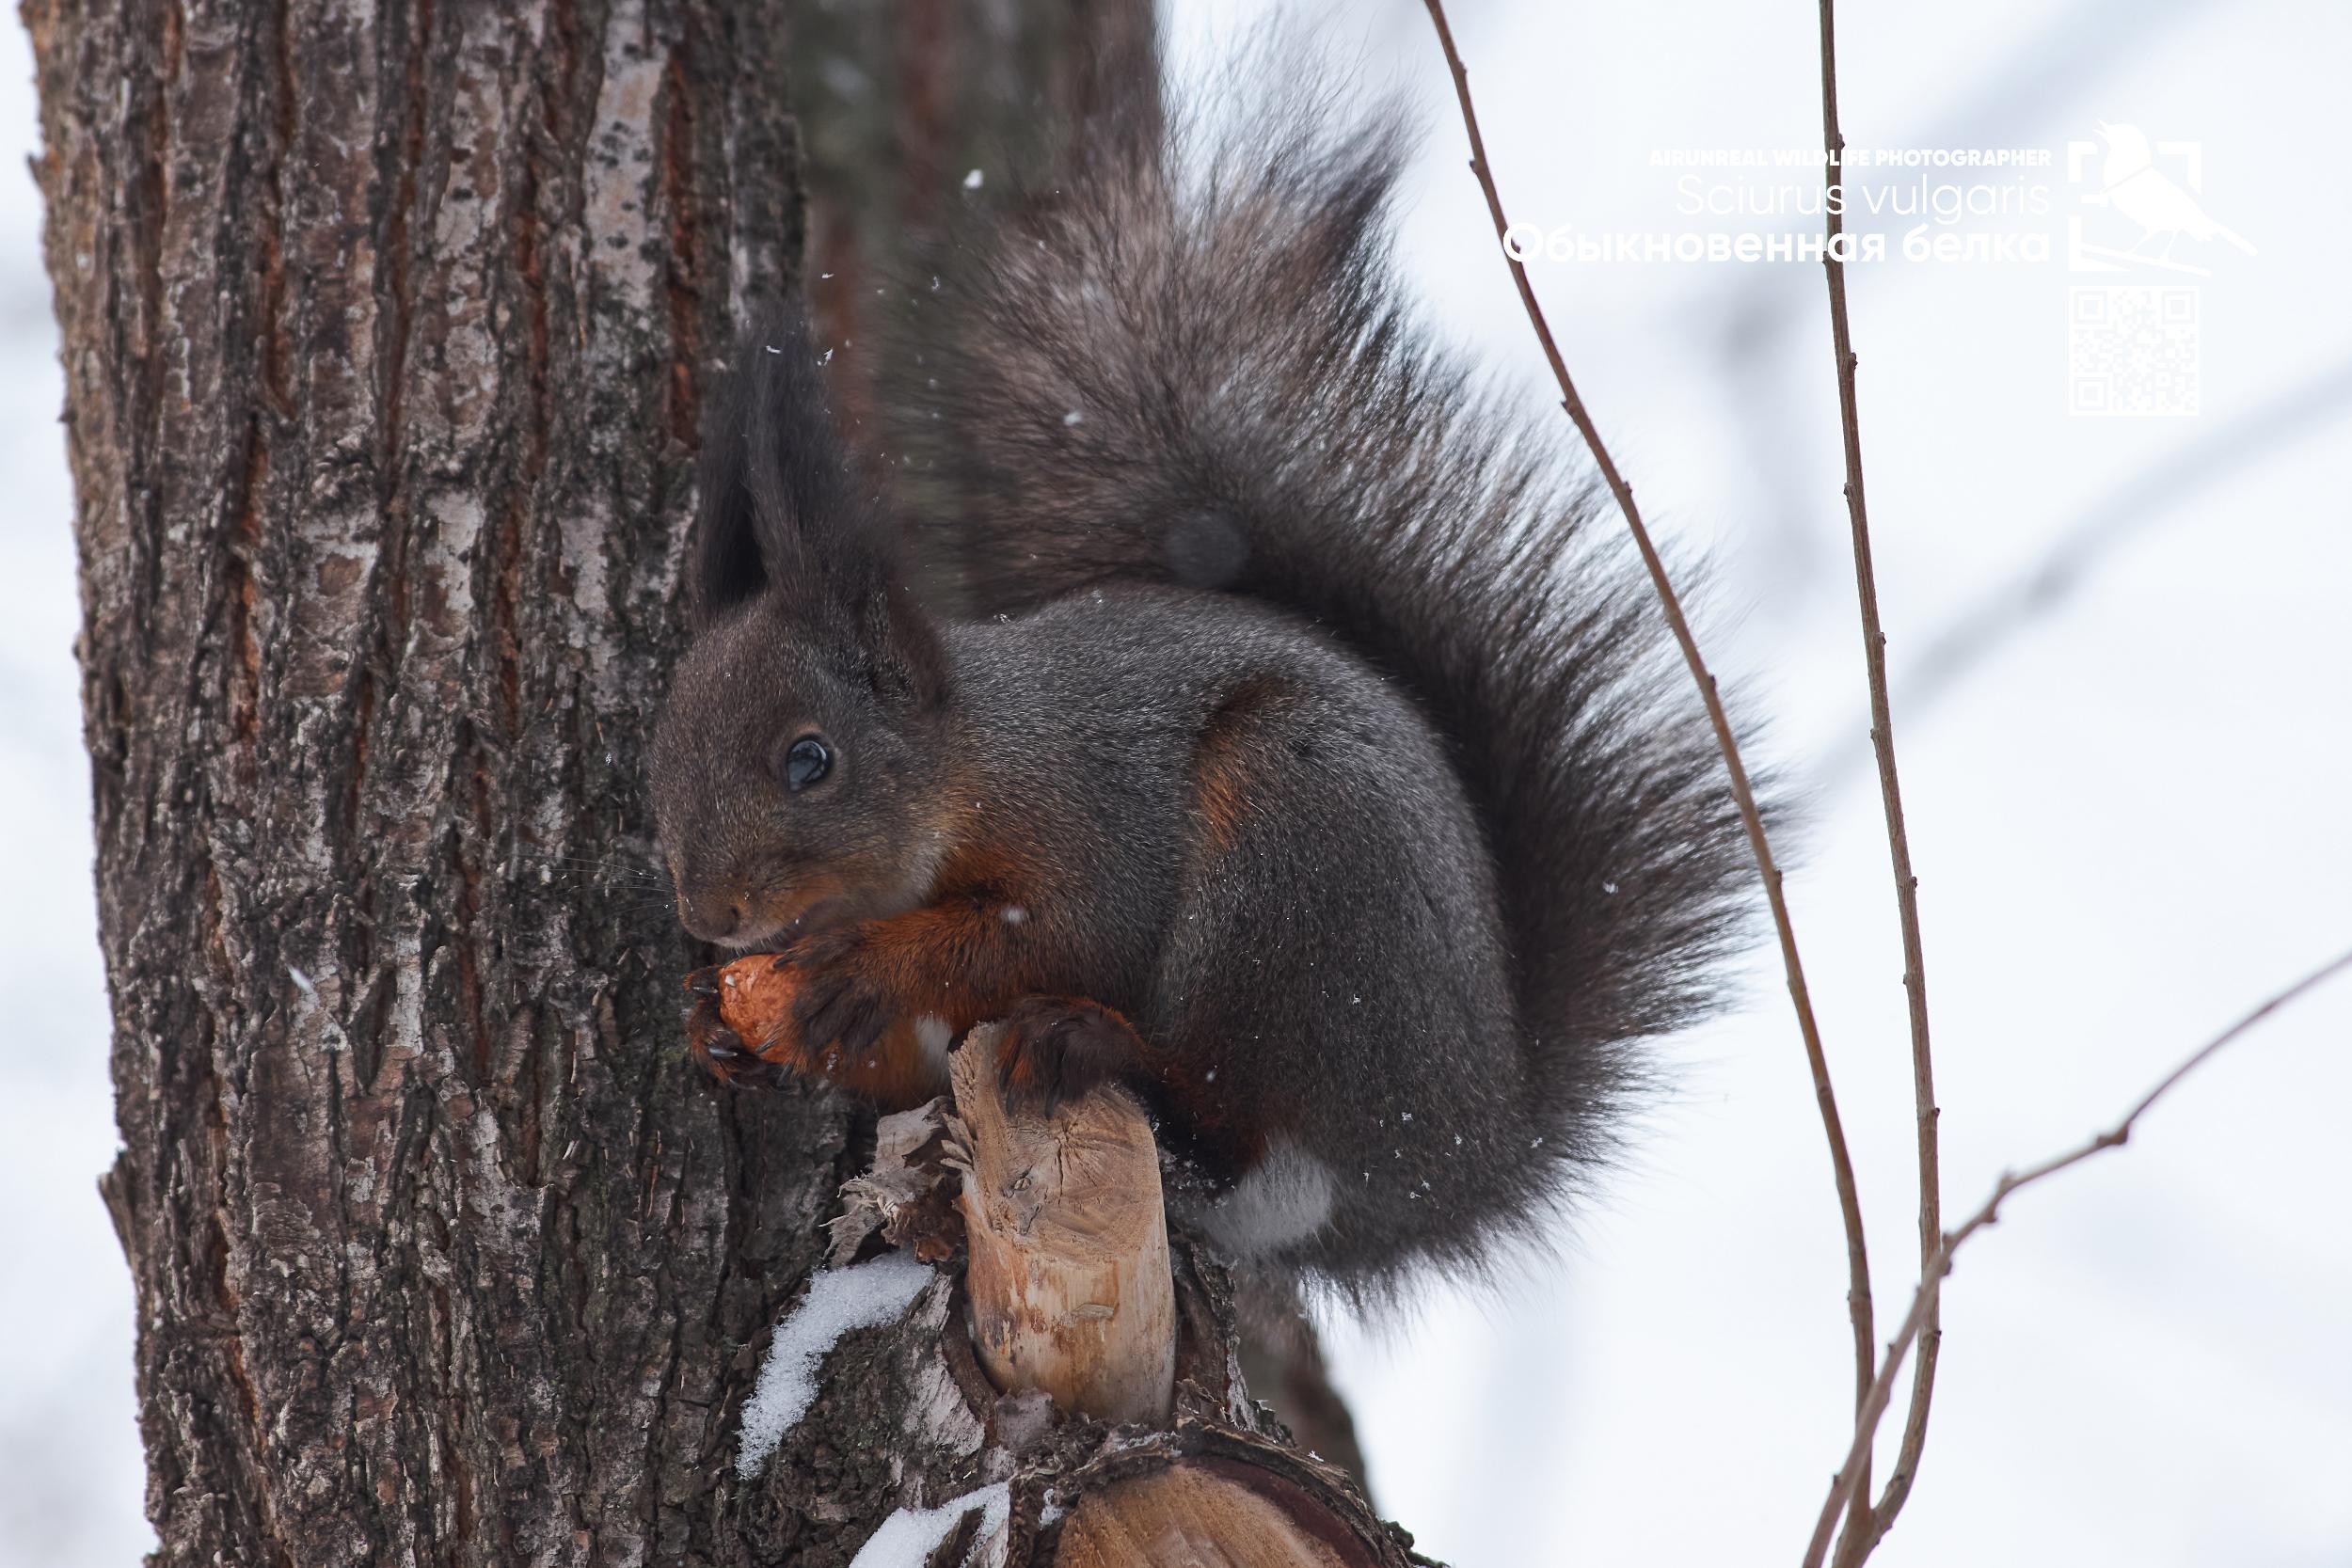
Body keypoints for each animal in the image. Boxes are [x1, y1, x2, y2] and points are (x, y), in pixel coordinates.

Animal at [644, 86, 1750, 1297]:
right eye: (657, 758)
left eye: (811, 759)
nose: (708, 914)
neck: (969, 761)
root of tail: (1458, 1158)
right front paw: (711, 1021)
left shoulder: (1090, 819)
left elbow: (1058, 930)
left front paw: (868, 964)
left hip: (1297, 856)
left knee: (1232, 1113)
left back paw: (1095, 1043)